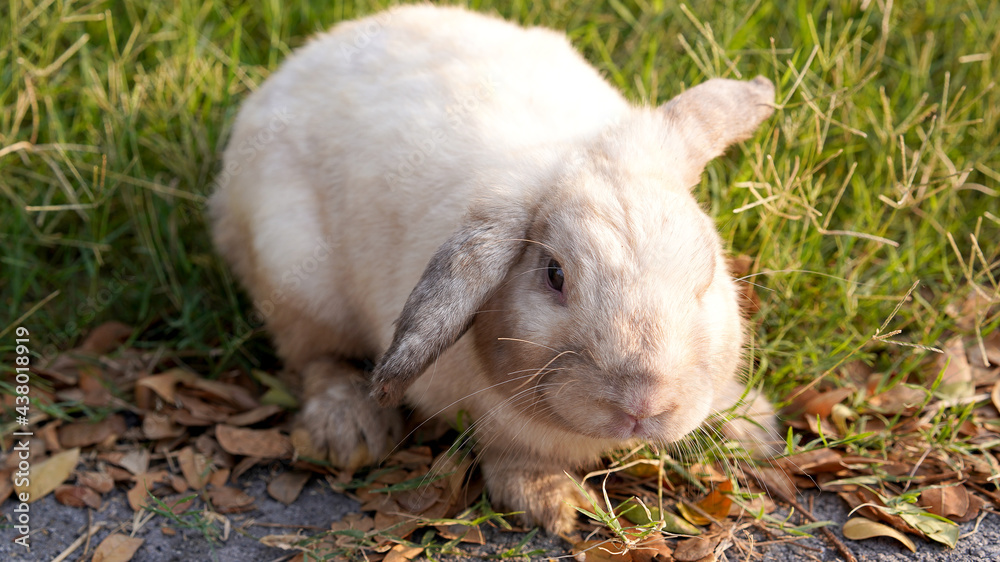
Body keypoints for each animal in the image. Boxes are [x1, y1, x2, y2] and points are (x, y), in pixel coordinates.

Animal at [209, 4, 778, 535]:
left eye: (706, 274)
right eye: (554, 275)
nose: (644, 401)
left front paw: (757, 427)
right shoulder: (497, 421)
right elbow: (514, 455)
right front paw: (554, 504)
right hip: (296, 275)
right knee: (314, 357)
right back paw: (350, 429)